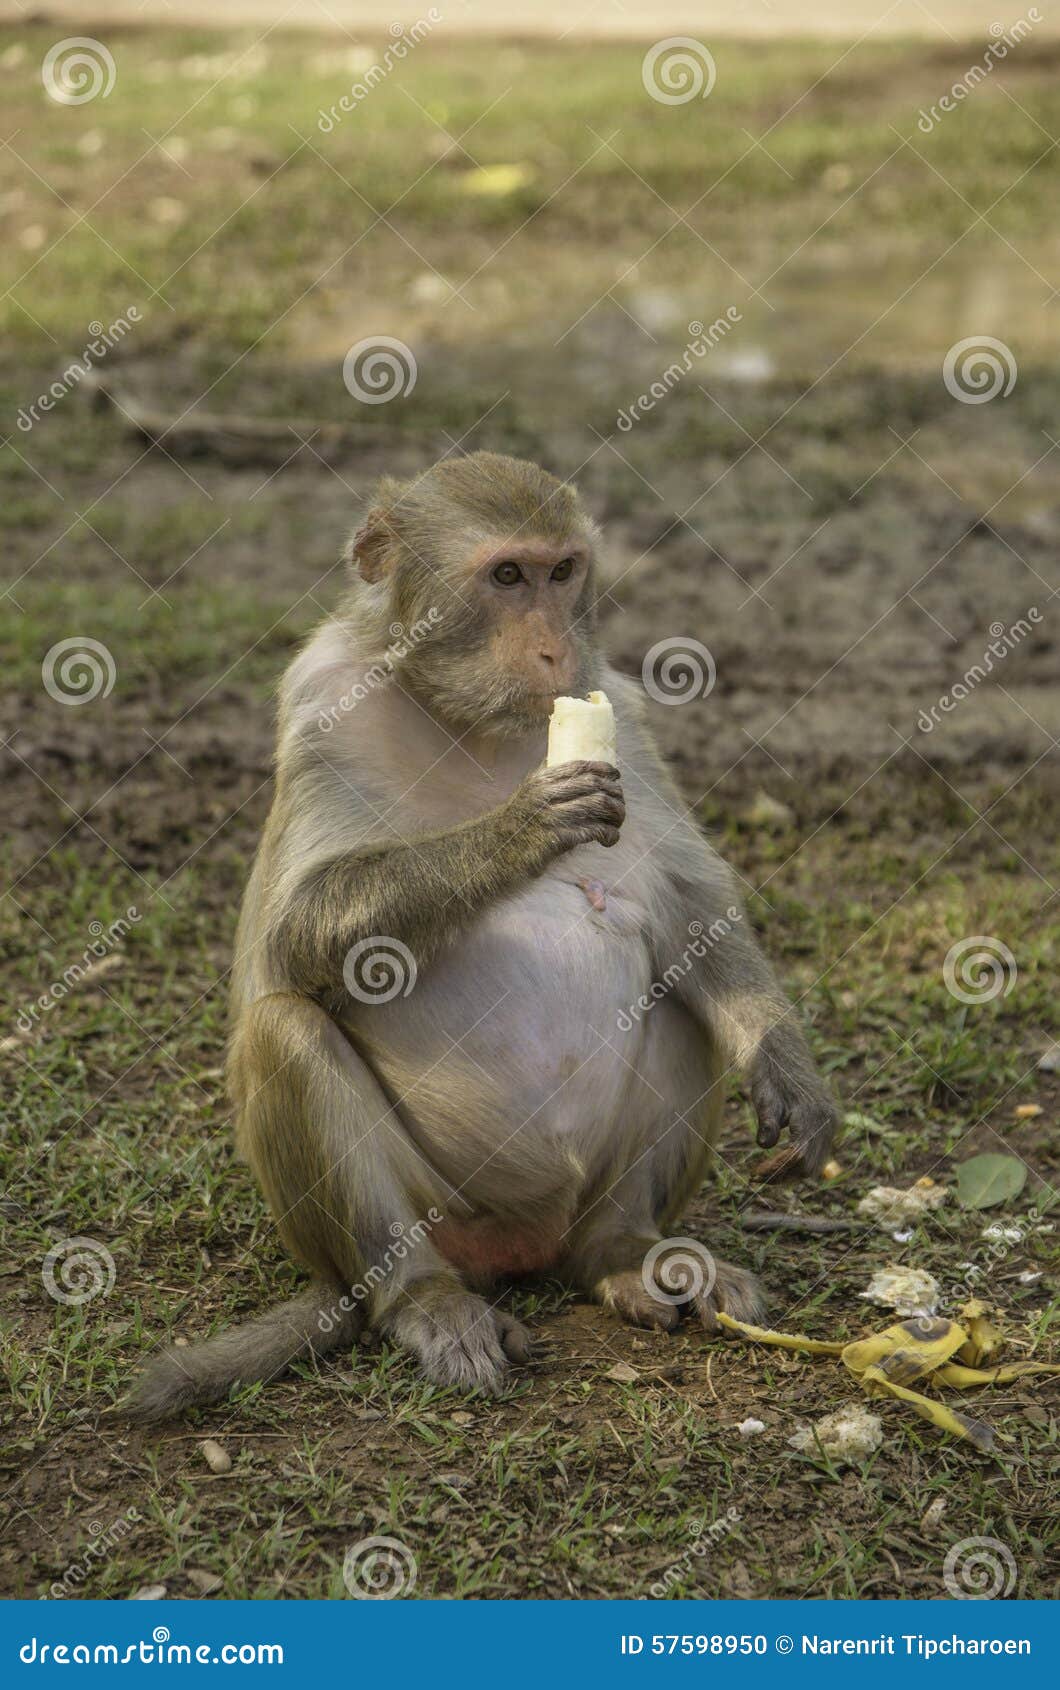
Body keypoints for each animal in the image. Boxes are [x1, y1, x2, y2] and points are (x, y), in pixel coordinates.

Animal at [128, 451, 837, 1419]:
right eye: (505, 578)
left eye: (562, 571)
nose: (554, 649)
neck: (462, 719)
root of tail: (518, 1245)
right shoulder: (321, 700)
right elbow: (291, 941)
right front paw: (521, 829)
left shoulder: (617, 705)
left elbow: (689, 906)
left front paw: (785, 1064)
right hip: (432, 1215)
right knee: (285, 1026)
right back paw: (419, 1297)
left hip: (576, 1207)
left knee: (680, 1004)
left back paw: (627, 1252)